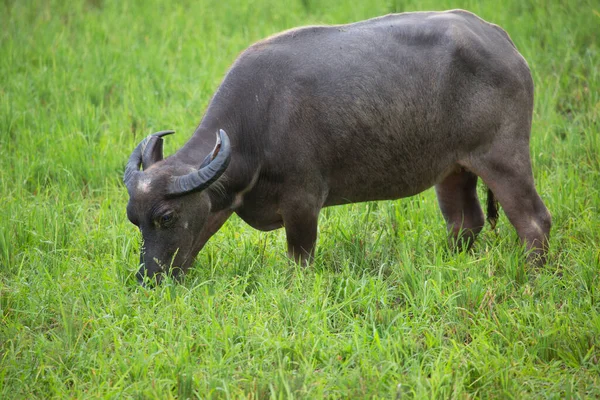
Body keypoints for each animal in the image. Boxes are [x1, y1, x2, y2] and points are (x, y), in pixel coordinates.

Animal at [124, 10, 552, 284]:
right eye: (134, 218)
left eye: (166, 217)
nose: (149, 279)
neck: (260, 117)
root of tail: (499, 39)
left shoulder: (302, 201)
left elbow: (300, 258)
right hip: (452, 168)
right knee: (464, 222)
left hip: (504, 157)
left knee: (534, 221)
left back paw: (533, 278)